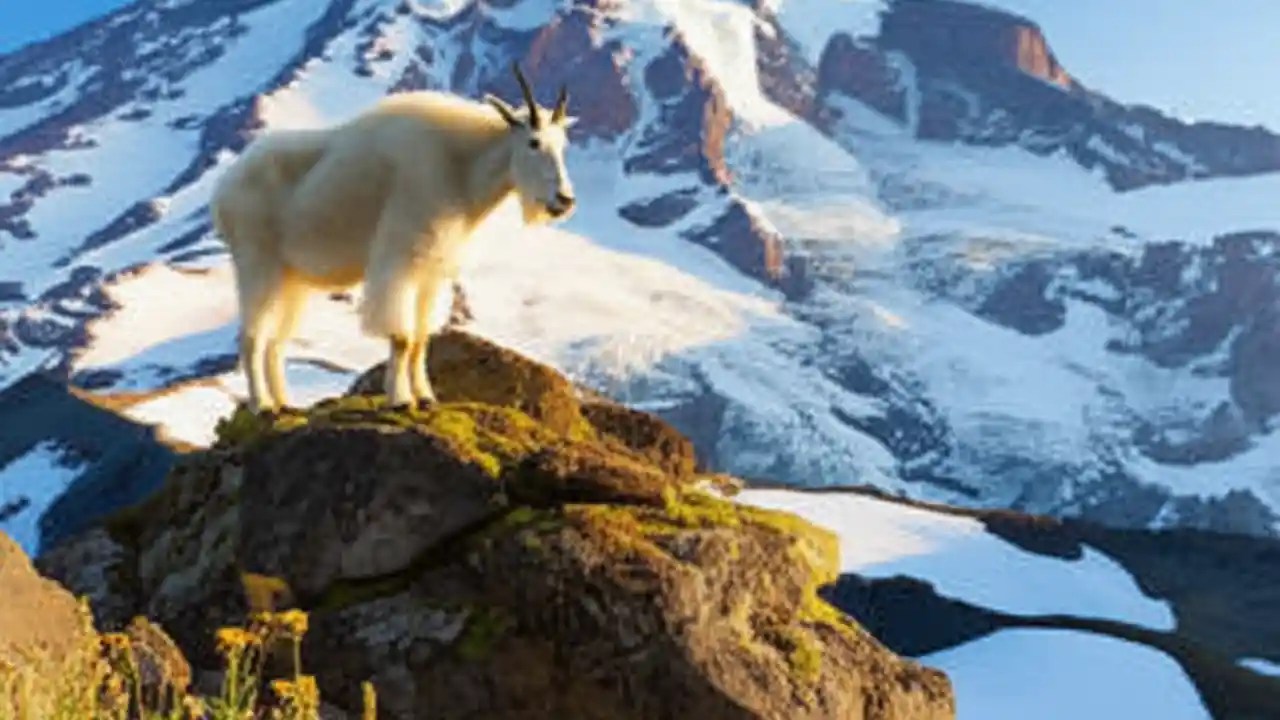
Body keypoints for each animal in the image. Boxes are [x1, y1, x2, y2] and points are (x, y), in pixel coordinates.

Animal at [210, 64, 578, 414]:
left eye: (563, 145)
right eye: (533, 142)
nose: (564, 200)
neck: (457, 169)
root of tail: (223, 190)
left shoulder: (432, 269)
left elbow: (421, 338)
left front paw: (426, 397)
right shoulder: (400, 259)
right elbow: (401, 337)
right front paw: (400, 400)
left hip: (292, 278)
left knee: (276, 342)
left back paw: (285, 404)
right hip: (257, 264)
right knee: (252, 337)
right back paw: (262, 405)